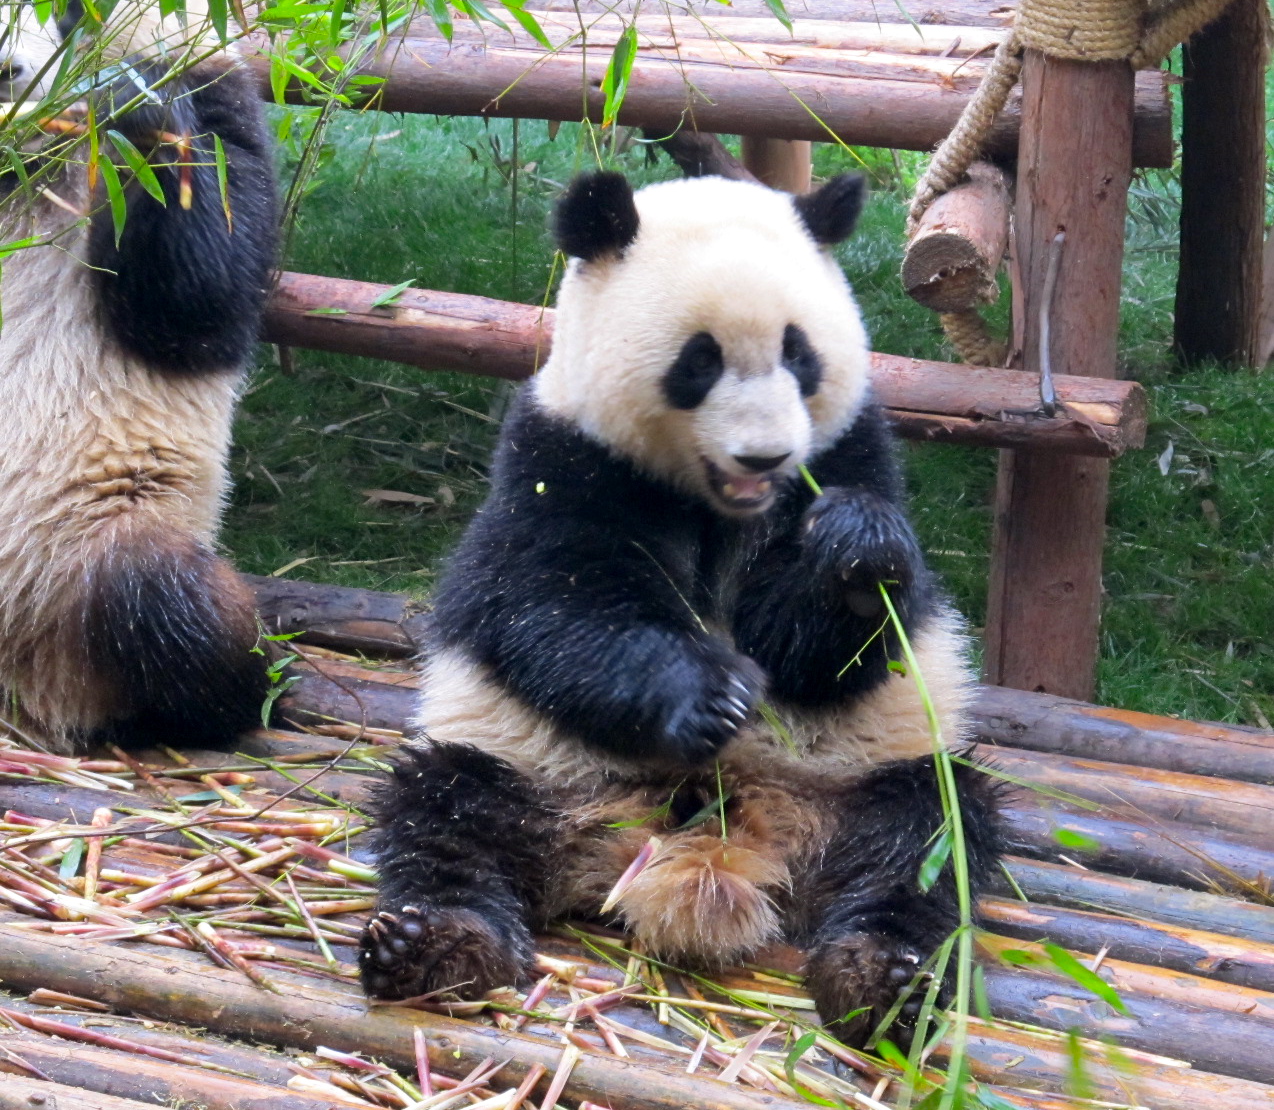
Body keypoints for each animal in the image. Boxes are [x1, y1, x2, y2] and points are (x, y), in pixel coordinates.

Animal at [0, 0, 276, 752]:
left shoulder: (216, 99)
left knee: (164, 603)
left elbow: (202, 302)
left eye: (69, 12)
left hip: (94, 535)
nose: (7, 72)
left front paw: (136, 105)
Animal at [358, 170, 1003, 1044]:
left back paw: (883, 980)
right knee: (448, 813)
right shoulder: (558, 458)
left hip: (865, 771)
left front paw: (855, 545)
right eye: (701, 361)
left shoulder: (851, 449)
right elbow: (552, 609)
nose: (766, 456)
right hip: (529, 762)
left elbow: (822, 650)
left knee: (927, 841)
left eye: (799, 354)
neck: (717, 505)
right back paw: (436, 946)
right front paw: (711, 695)